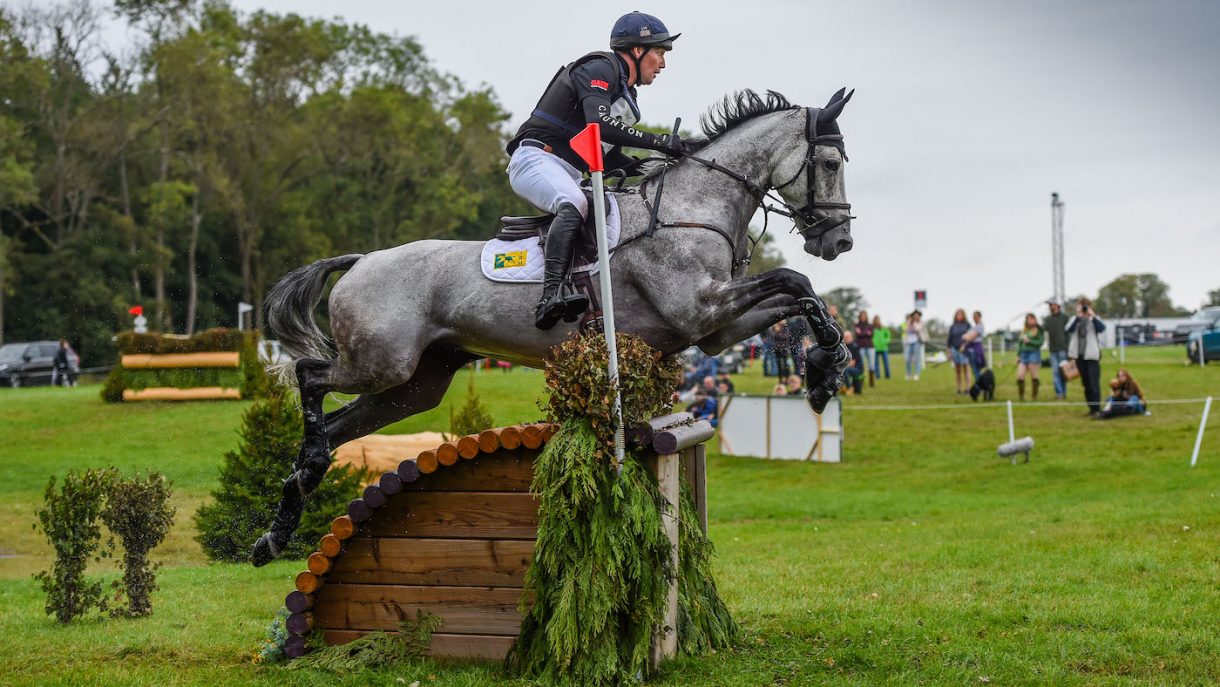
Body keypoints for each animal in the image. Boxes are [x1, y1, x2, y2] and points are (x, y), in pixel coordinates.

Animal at [251, 88, 856, 566]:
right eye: (829, 163)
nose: (839, 241)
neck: (692, 209)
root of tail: (360, 261)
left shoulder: (715, 330)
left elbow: (797, 293)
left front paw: (823, 374)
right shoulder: (702, 309)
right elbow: (794, 280)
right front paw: (825, 369)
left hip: (415, 386)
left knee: (336, 426)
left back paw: (279, 525)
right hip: (381, 362)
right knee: (309, 375)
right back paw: (303, 474)